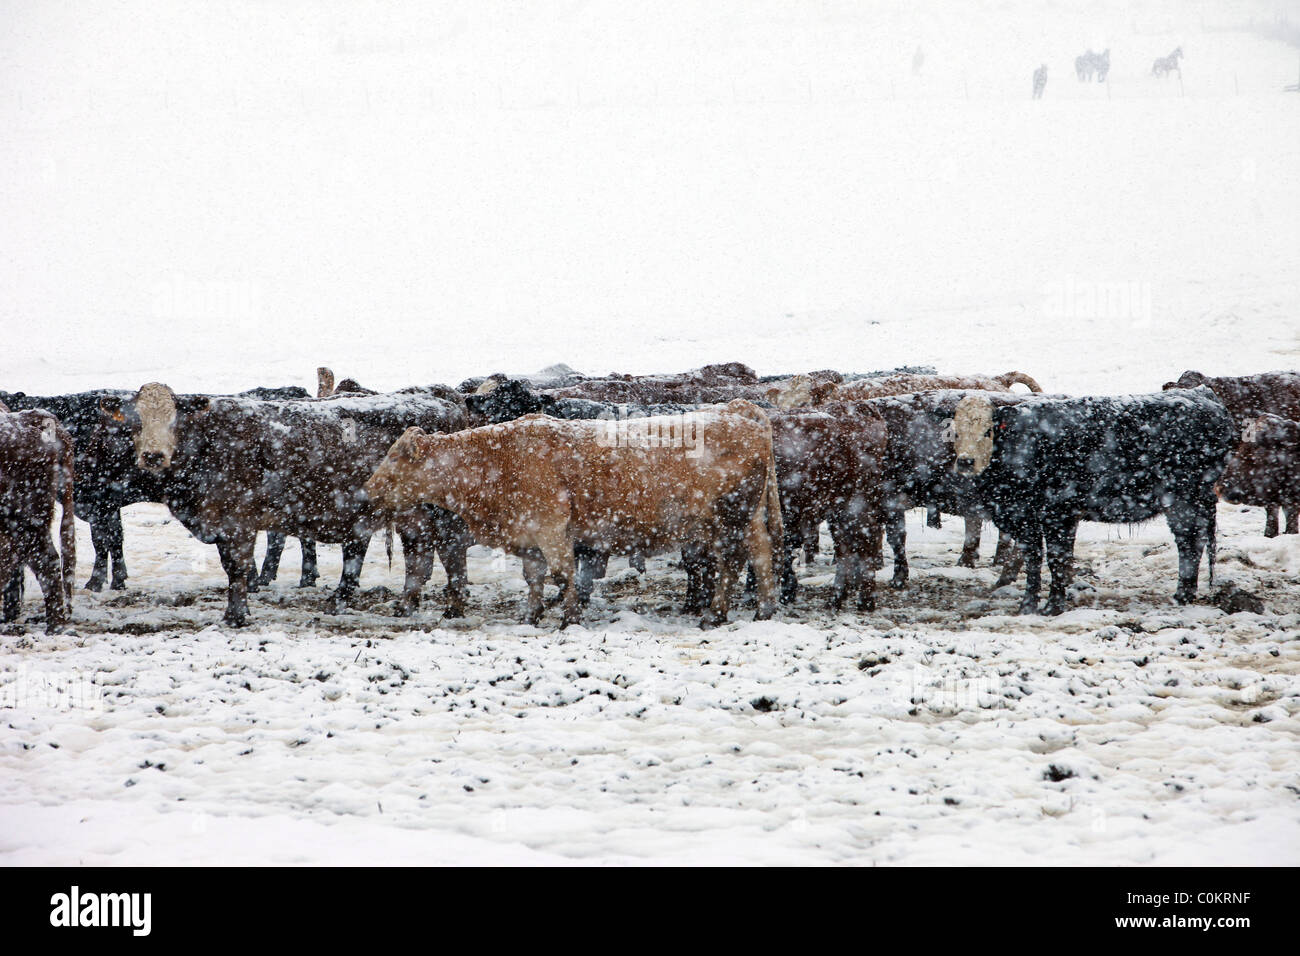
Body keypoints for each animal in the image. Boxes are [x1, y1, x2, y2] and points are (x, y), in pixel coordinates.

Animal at [96, 384, 470, 626]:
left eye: (175, 420)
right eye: (135, 422)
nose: (153, 455)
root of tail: (444, 400)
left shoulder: (237, 520)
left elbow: (237, 568)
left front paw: (235, 616)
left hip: (424, 513)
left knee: (430, 556)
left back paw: (419, 606)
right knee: (438, 554)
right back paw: (437, 606)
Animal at [364, 400, 783, 629]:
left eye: (395, 458)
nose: (367, 489)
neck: (497, 461)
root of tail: (741, 414)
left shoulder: (552, 529)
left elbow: (564, 575)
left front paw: (569, 618)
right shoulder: (528, 535)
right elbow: (534, 578)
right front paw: (531, 616)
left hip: (730, 520)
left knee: (731, 563)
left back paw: (717, 614)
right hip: (747, 520)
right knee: (761, 556)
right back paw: (763, 610)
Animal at [769, 403, 887, 610]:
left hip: (853, 505)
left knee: (865, 541)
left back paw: (865, 601)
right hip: (838, 512)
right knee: (846, 548)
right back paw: (837, 598)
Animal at [951, 388, 1235, 615]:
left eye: (988, 431)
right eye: (955, 433)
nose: (965, 461)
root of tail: (1204, 395)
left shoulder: (1059, 514)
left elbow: (1057, 559)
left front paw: (1053, 606)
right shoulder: (1023, 518)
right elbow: (1033, 558)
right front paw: (1028, 605)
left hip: (1187, 498)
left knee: (1190, 542)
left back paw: (1183, 595)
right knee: (1190, 542)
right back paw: (1183, 595)